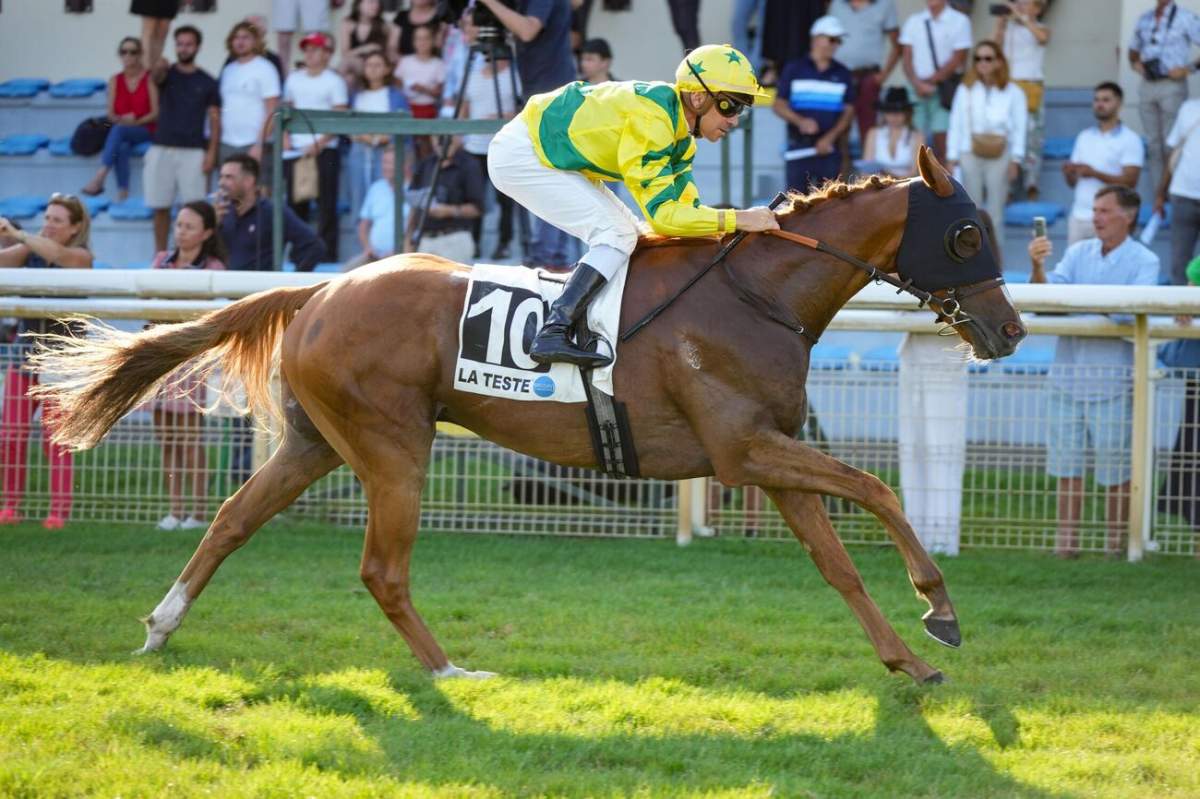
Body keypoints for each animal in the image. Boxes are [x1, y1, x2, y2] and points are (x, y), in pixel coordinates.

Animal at [31, 147, 1026, 684]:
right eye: (967, 233)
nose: (1011, 330)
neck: (756, 294)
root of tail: (318, 288)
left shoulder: (767, 456)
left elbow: (838, 563)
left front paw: (911, 659)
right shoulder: (746, 449)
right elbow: (876, 488)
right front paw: (939, 609)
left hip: (317, 443)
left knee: (232, 521)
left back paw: (161, 625)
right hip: (393, 444)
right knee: (381, 568)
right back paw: (449, 668)